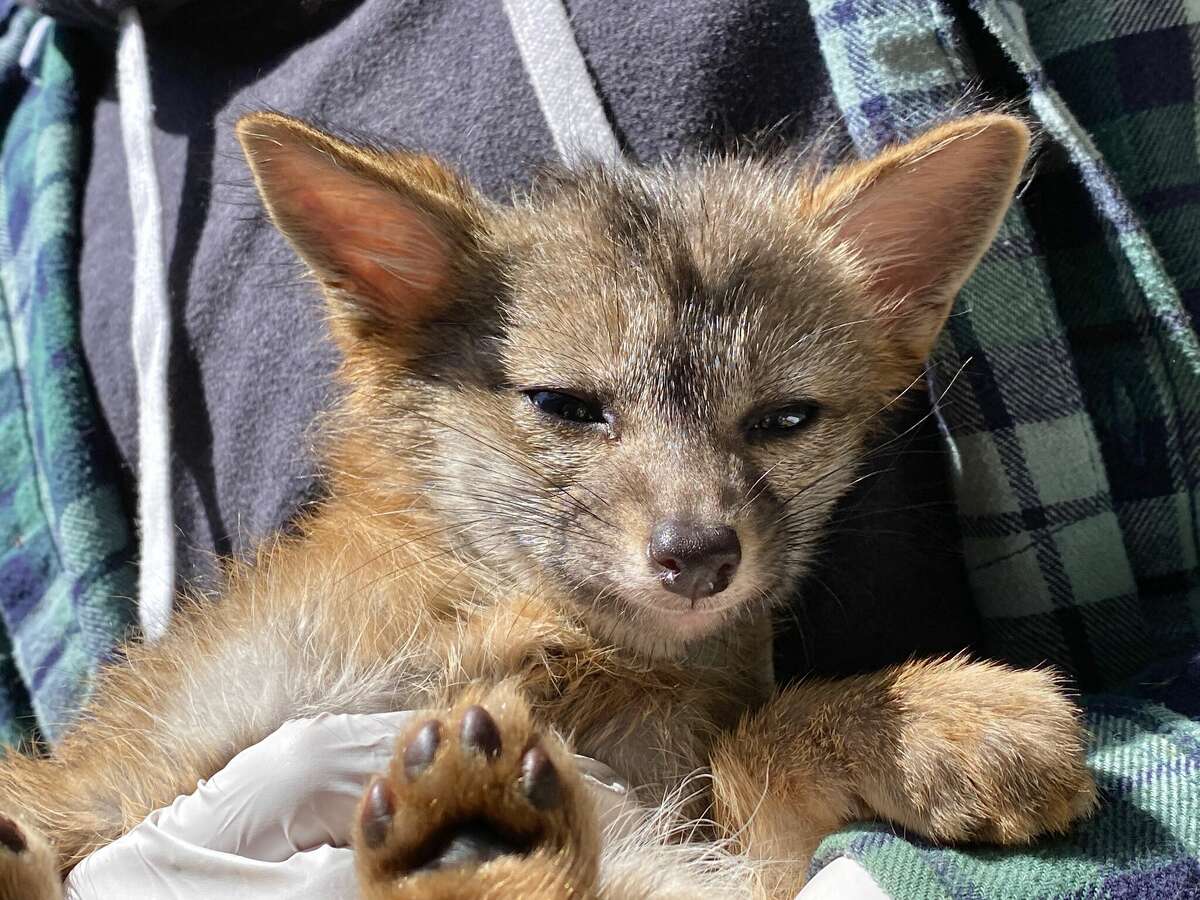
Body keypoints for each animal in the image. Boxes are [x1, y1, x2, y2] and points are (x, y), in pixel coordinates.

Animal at [0, 111, 1094, 900]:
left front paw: (935, 717)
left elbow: (756, 751)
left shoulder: (701, 842)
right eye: (566, 405)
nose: (698, 555)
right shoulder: (144, 764)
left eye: (784, 418)